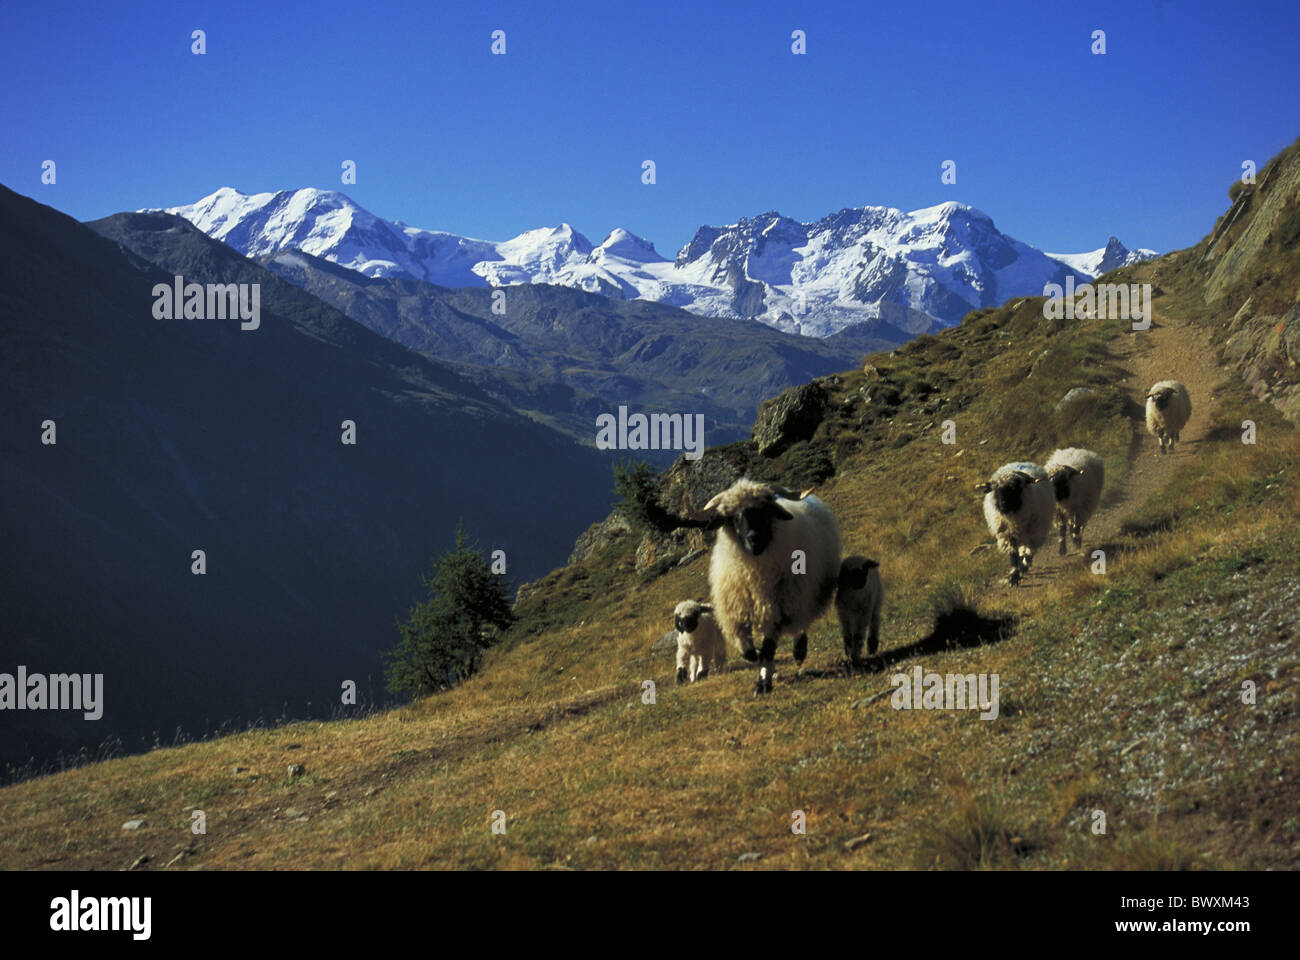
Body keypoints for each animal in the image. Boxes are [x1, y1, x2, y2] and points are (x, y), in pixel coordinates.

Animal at [696, 479, 842, 695]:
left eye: (765, 510)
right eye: (734, 517)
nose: (753, 538)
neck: (755, 572)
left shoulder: (778, 609)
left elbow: (768, 648)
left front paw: (763, 683)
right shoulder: (736, 610)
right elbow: (747, 650)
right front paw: (757, 661)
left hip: (801, 595)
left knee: (801, 623)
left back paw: (799, 651)